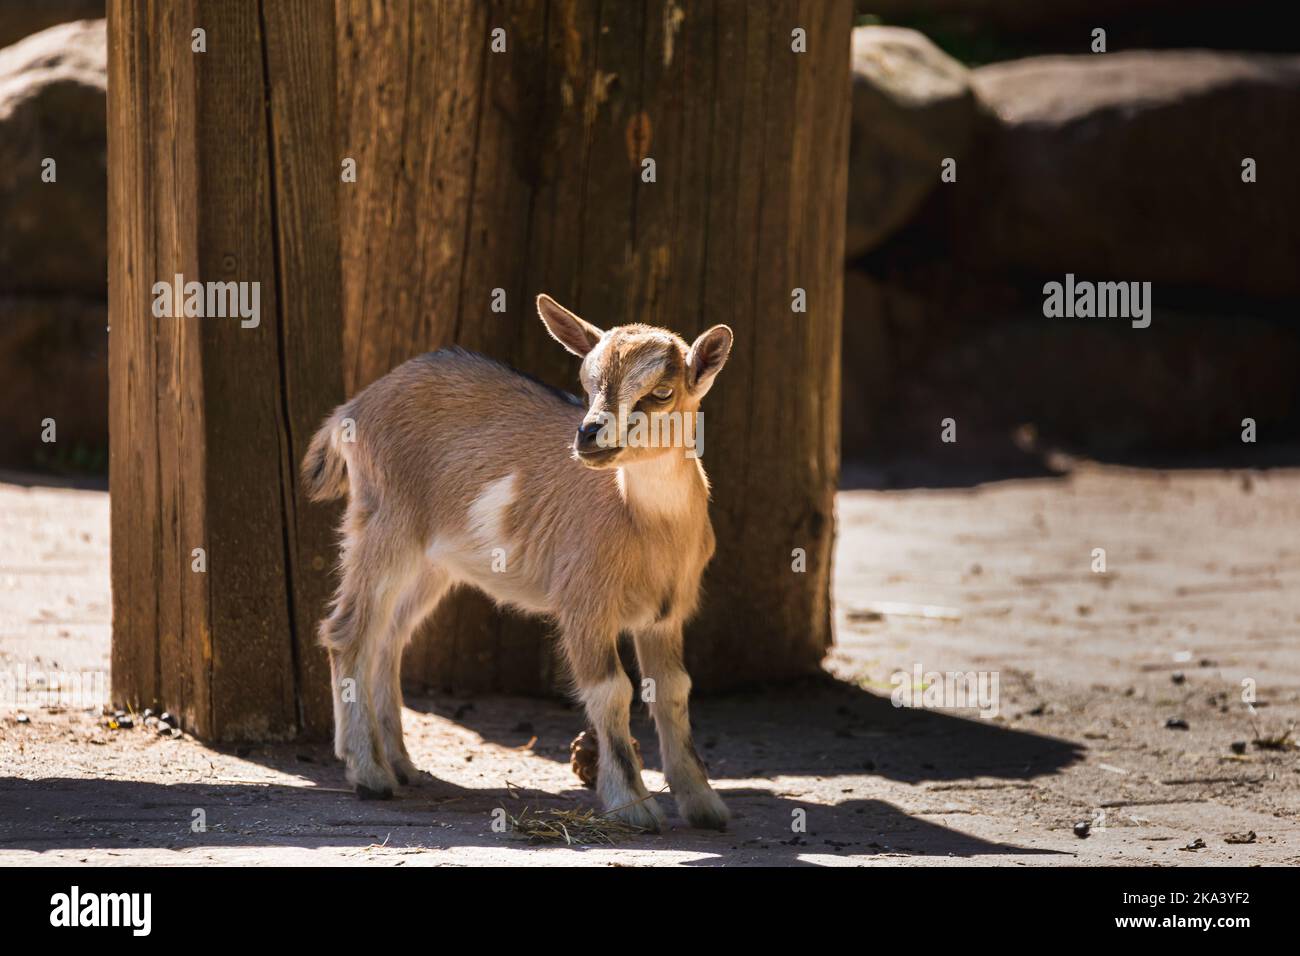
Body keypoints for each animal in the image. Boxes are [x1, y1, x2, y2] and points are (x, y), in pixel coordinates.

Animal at [301, 294, 733, 831]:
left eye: (662, 392)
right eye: (587, 382)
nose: (588, 436)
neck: (647, 525)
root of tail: (352, 408)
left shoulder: (665, 615)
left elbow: (674, 690)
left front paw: (704, 804)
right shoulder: (584, 606)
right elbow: (611, 691)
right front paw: (632, 803)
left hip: (432, 560)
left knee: (389, 635)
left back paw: (399, 763)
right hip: (384, 524)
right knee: (349, 631)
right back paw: (368, 774)